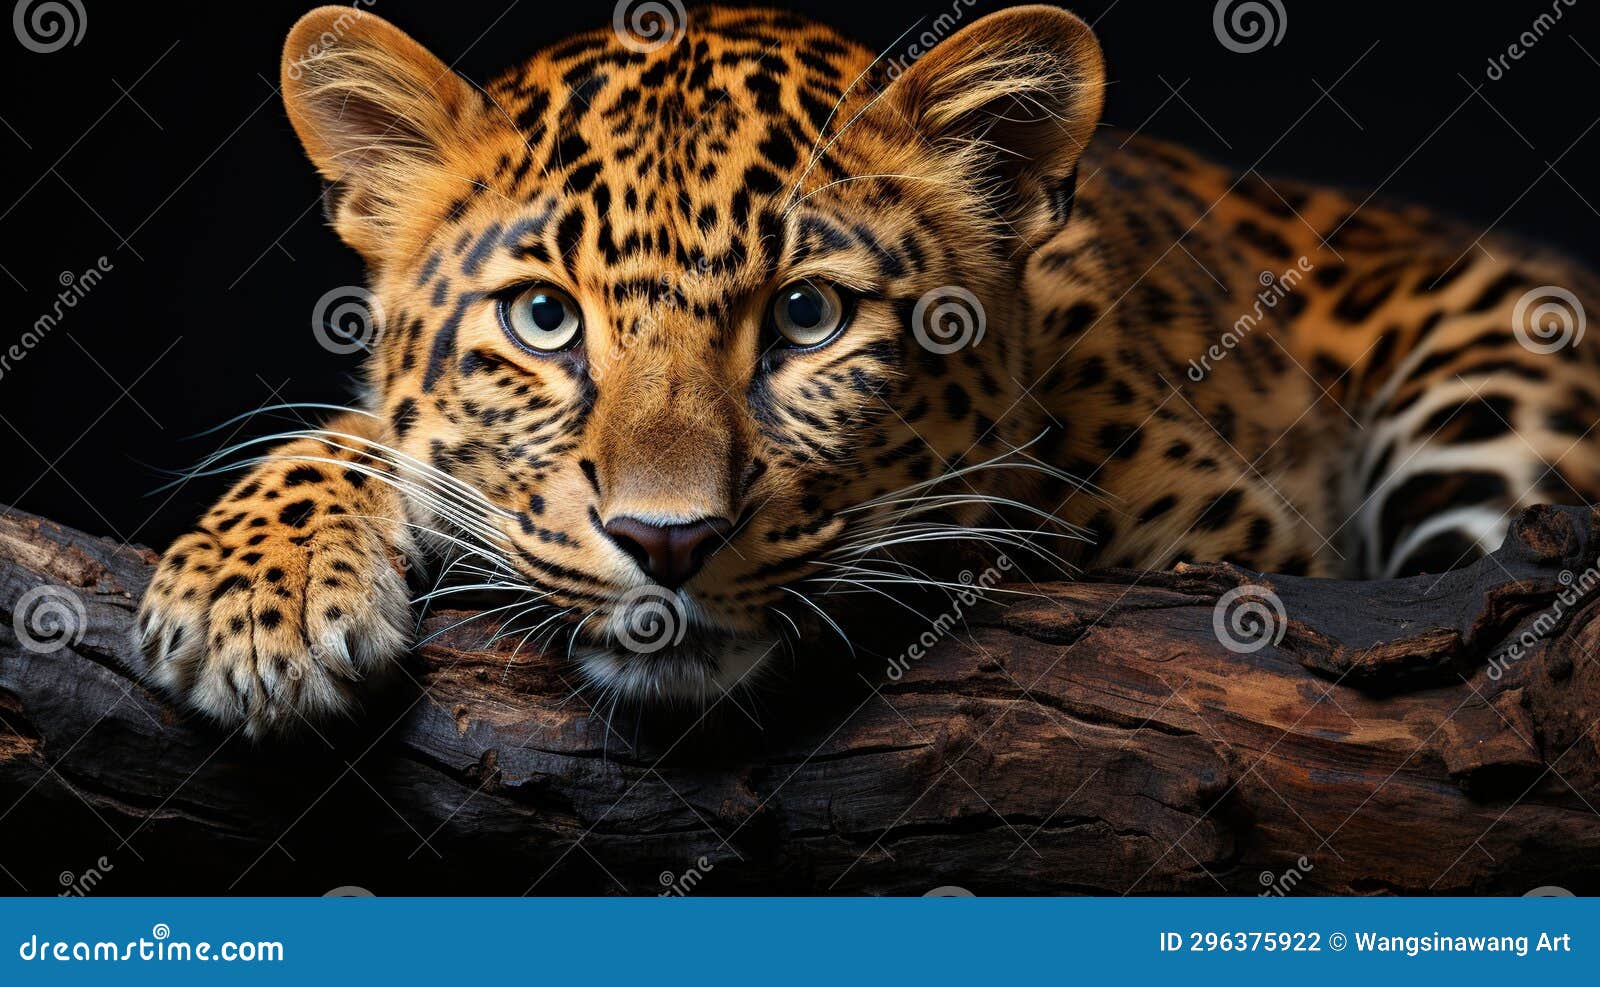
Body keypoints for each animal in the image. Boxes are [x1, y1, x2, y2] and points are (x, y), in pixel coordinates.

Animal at [136, 3, 1600, 738]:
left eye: (809, 316)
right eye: (545, 319)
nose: (667, 543)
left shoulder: (1248, 548)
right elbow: (365, 431)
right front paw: (252, 594)